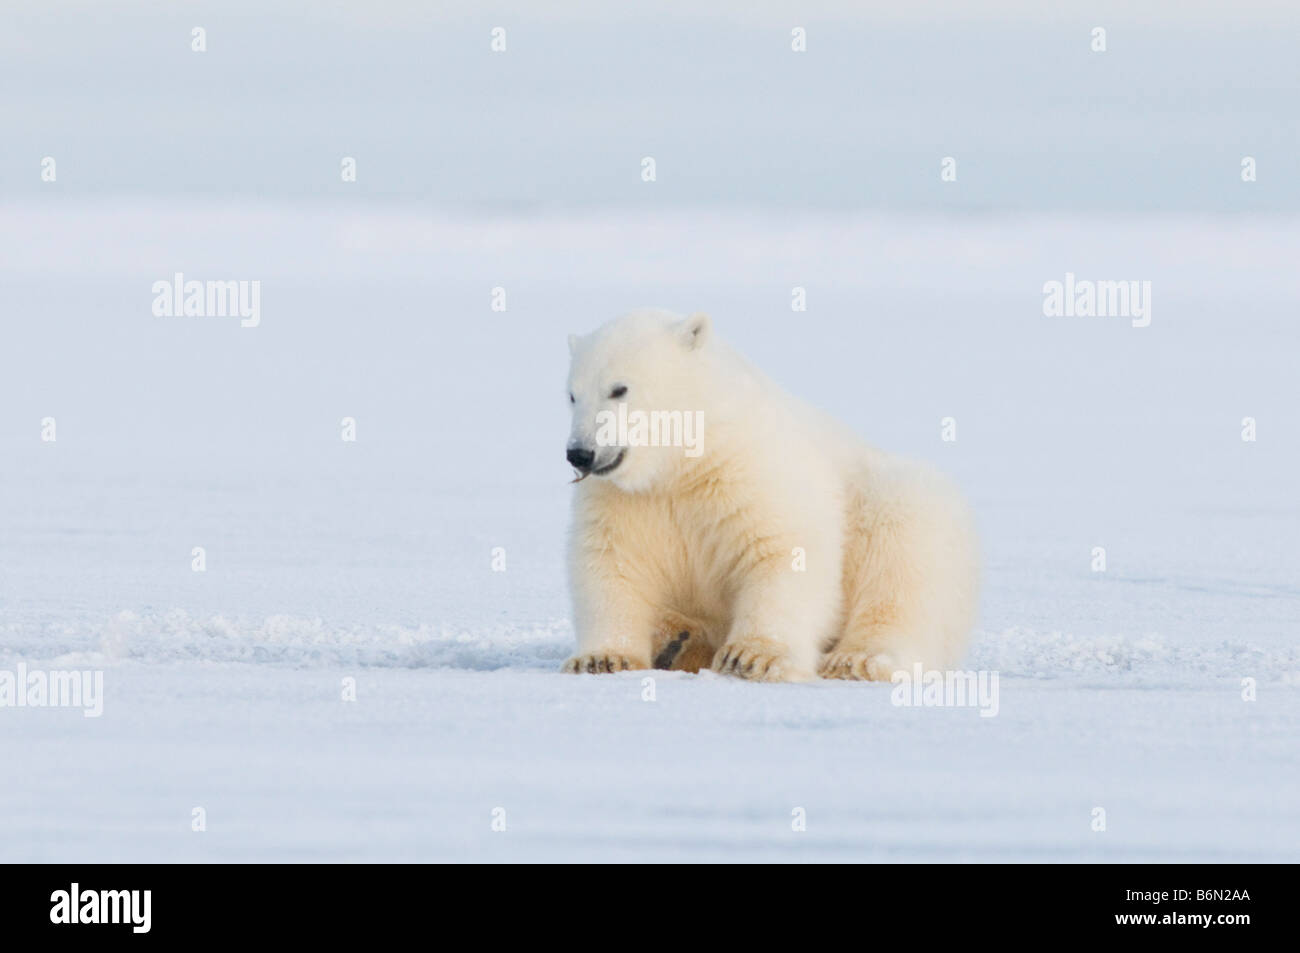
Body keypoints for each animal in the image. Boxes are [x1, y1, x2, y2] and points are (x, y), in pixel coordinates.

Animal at [560, 309, 979, 682]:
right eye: (572, 395)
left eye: (619, 389)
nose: (579, 453)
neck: (682, 464)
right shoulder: (625, 500)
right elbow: (609, 561)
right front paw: (602, 659)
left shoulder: (750, 468)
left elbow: (782, 548)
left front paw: (752, 657)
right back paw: (676, 639)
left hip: (895, 499)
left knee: (900, 557)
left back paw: (855, 660)